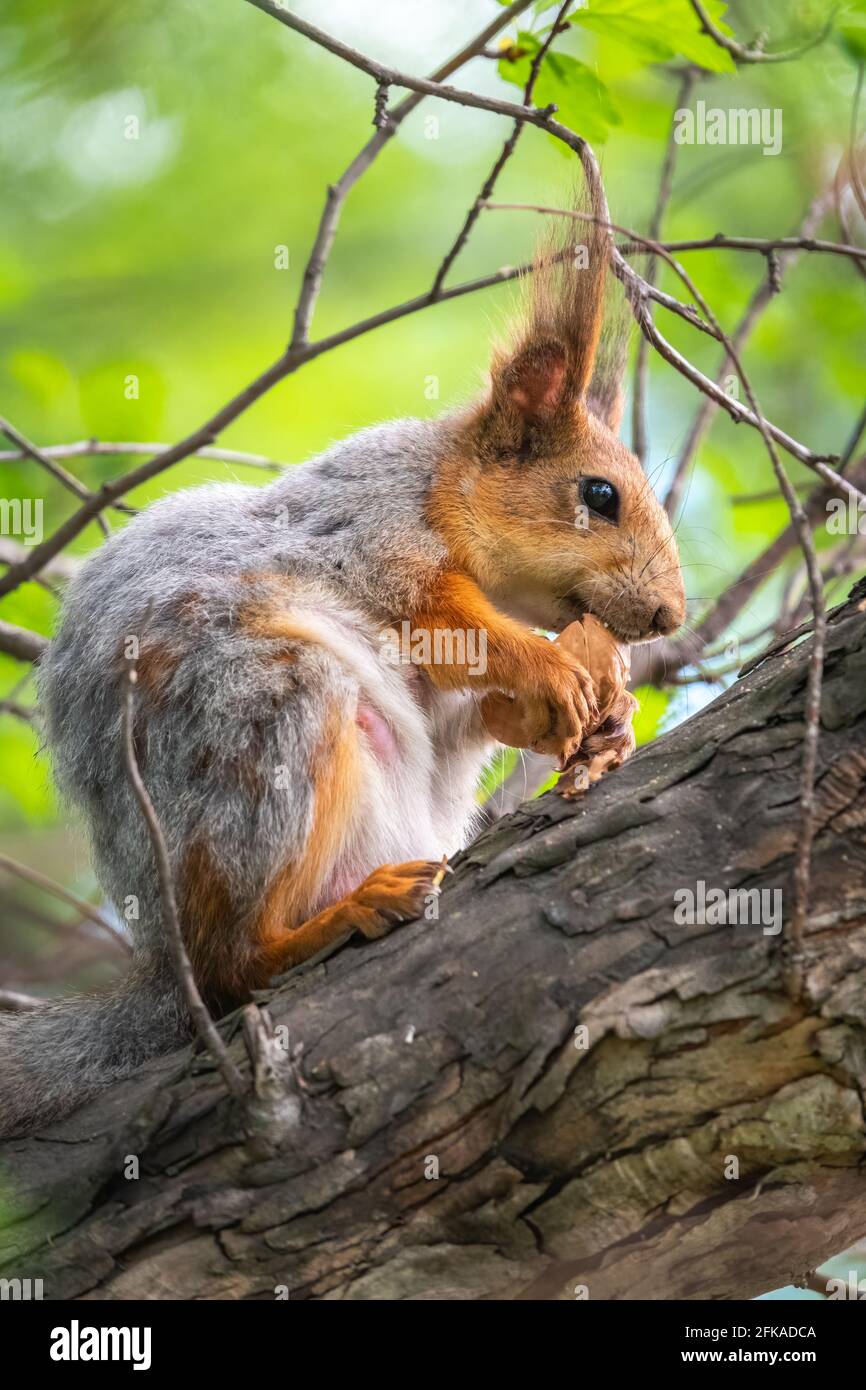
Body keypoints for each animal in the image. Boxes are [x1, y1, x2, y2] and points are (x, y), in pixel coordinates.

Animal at [0, 216, 685, 1136]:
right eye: (600, 494)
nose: (669, 617)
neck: (438, 485)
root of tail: (162, 957)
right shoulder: (364, 532)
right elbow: (438, 615)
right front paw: (549, 662)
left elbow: (472, 717)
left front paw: (607, 722)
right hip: (264, 720)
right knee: (229, 968)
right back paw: (335, 919)